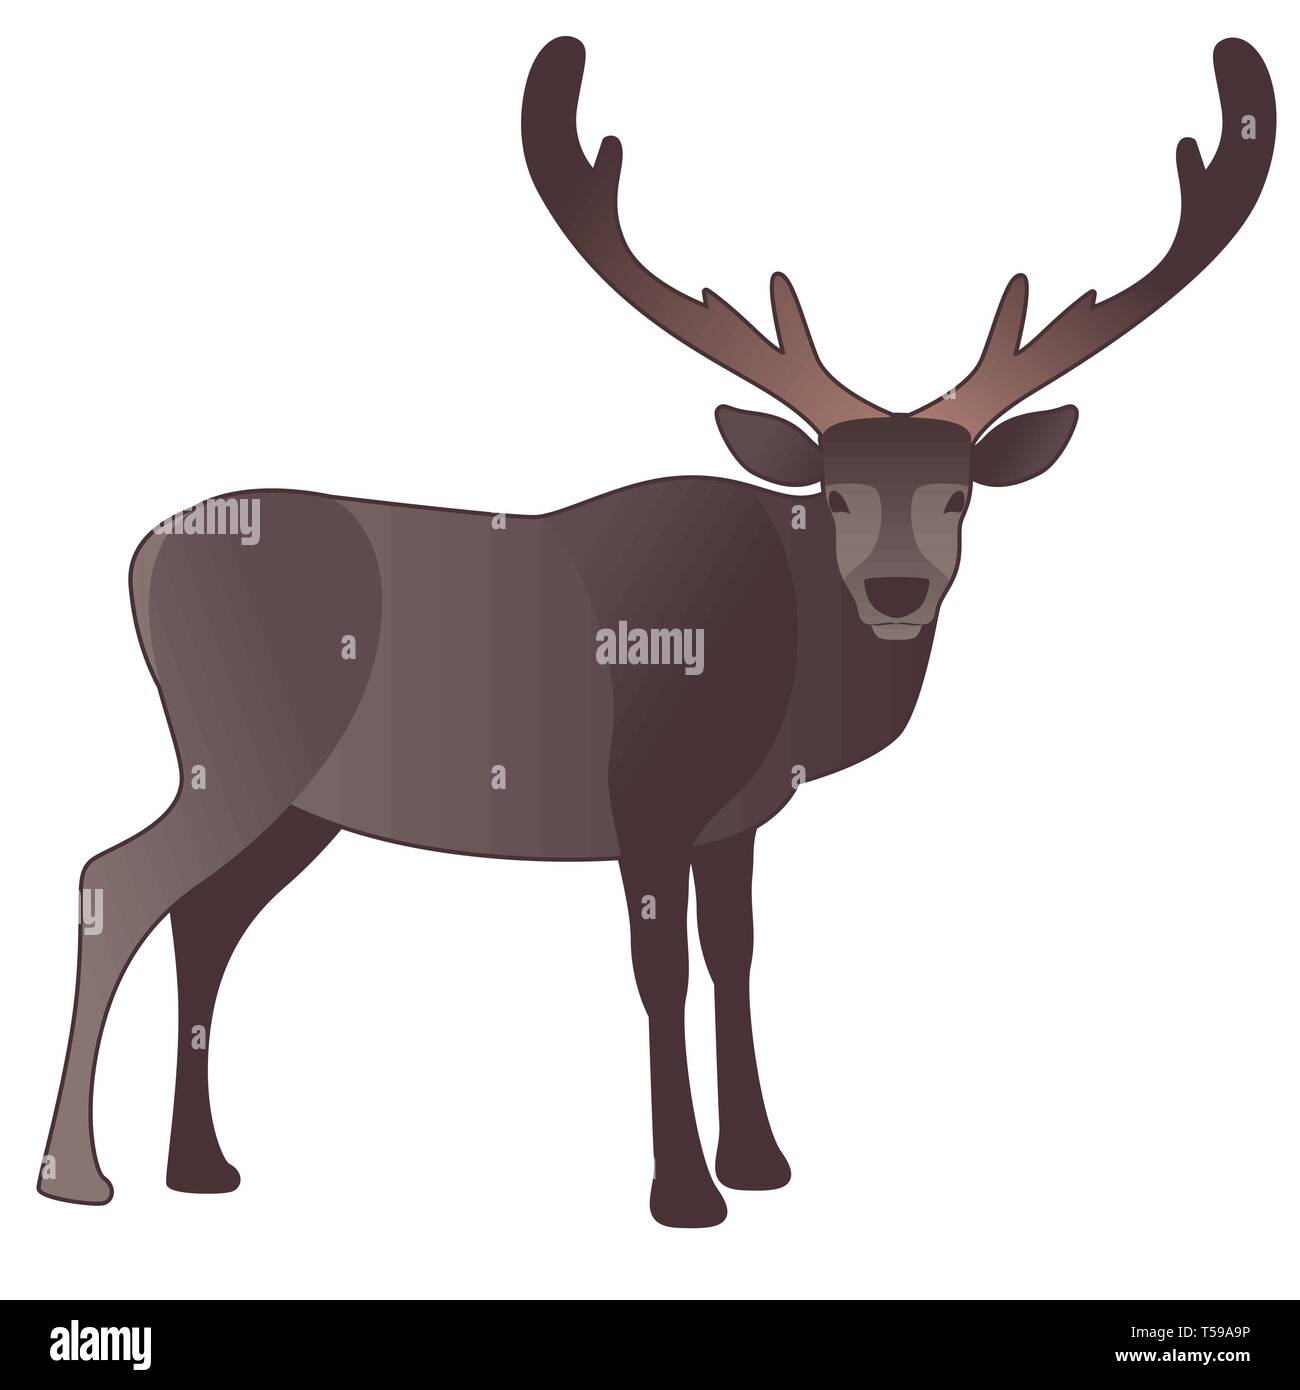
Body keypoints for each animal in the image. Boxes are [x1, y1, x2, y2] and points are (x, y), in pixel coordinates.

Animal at [40, 36, 1274, 1227]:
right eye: (833, 493)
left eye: (960, 494)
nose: (895, 588)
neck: (792, 697)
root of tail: (140, 556)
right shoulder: (645, 795)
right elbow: (659, 971)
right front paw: (684, 1192)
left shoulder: (737, 815)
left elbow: (736, 957)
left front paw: (763, 1161)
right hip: (233, 750)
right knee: (117, 876)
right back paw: (77, 1173)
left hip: (299, 798)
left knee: (206, 919)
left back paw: (201, 1167)